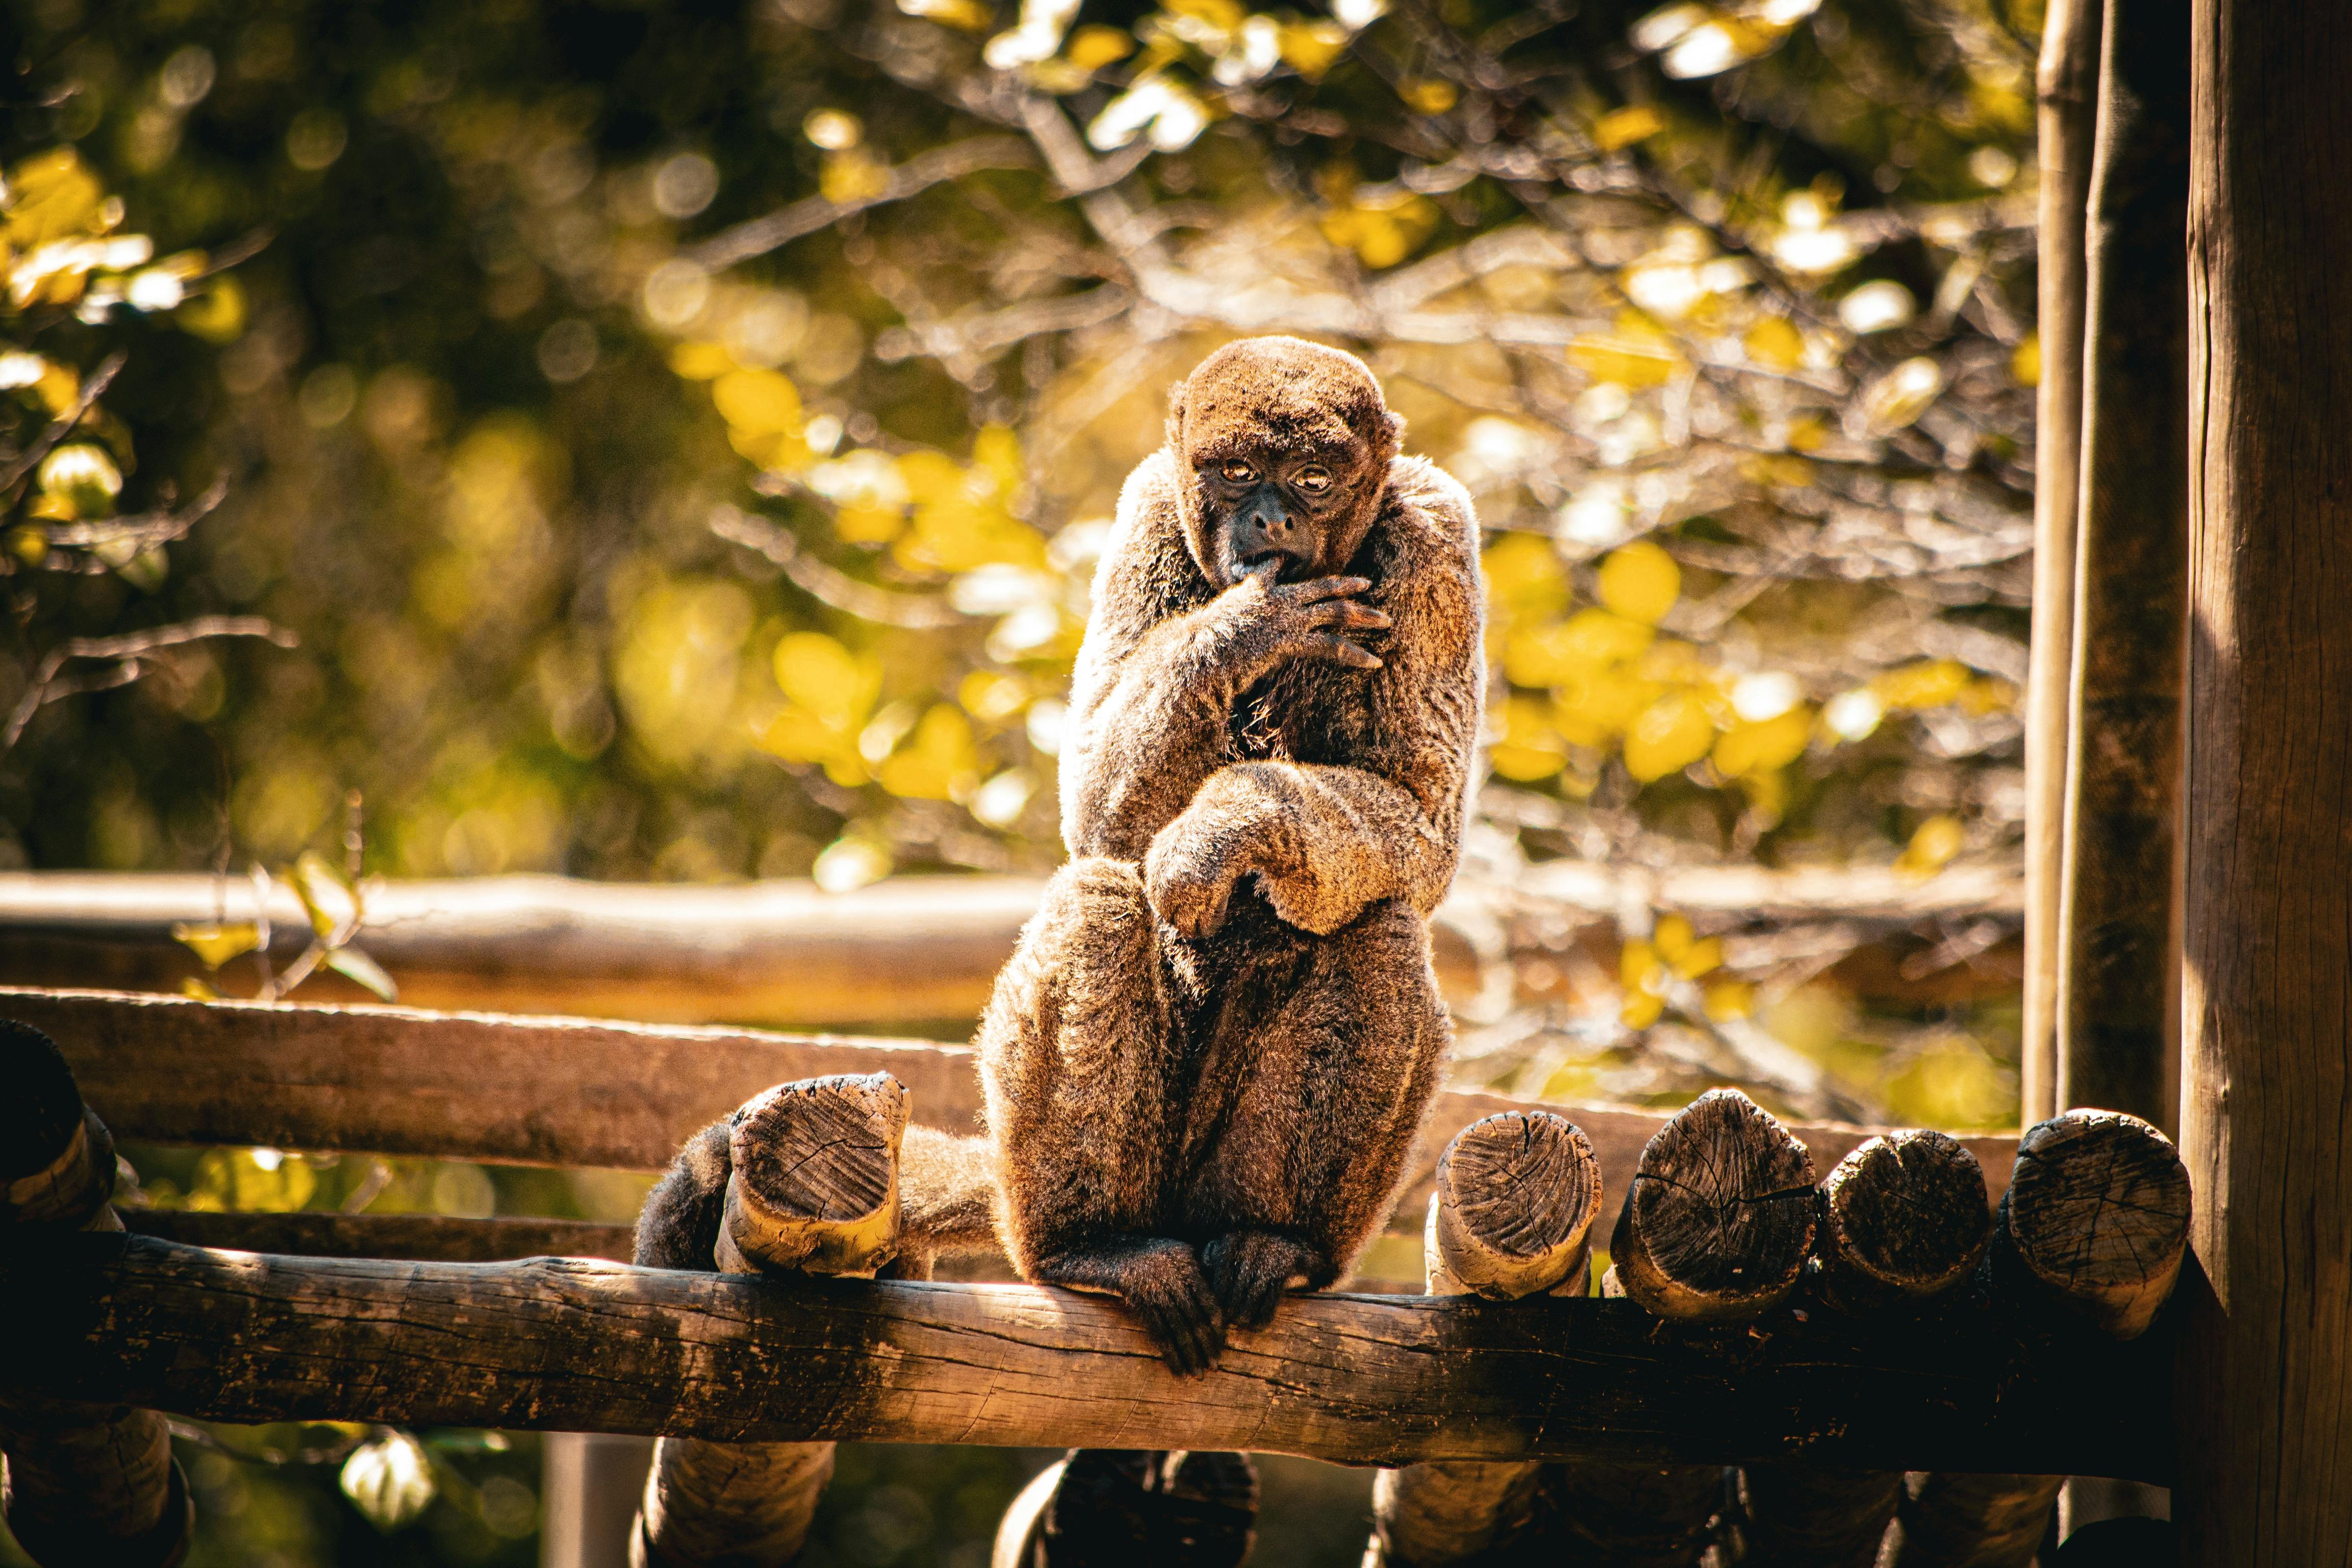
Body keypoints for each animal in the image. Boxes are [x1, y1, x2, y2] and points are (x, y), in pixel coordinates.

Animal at [637, 337, 1484, 1375]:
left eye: (1313, 481)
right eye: (1237, 473)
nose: (1272, 517)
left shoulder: (1438, 534)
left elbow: (1422, 823)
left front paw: (1221, 827)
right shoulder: (1149, 506)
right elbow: (1093, 814)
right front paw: (1244, 630)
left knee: (1374, 918)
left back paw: (1271, 1241)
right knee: (1099, 895)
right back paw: (1094, 1247)